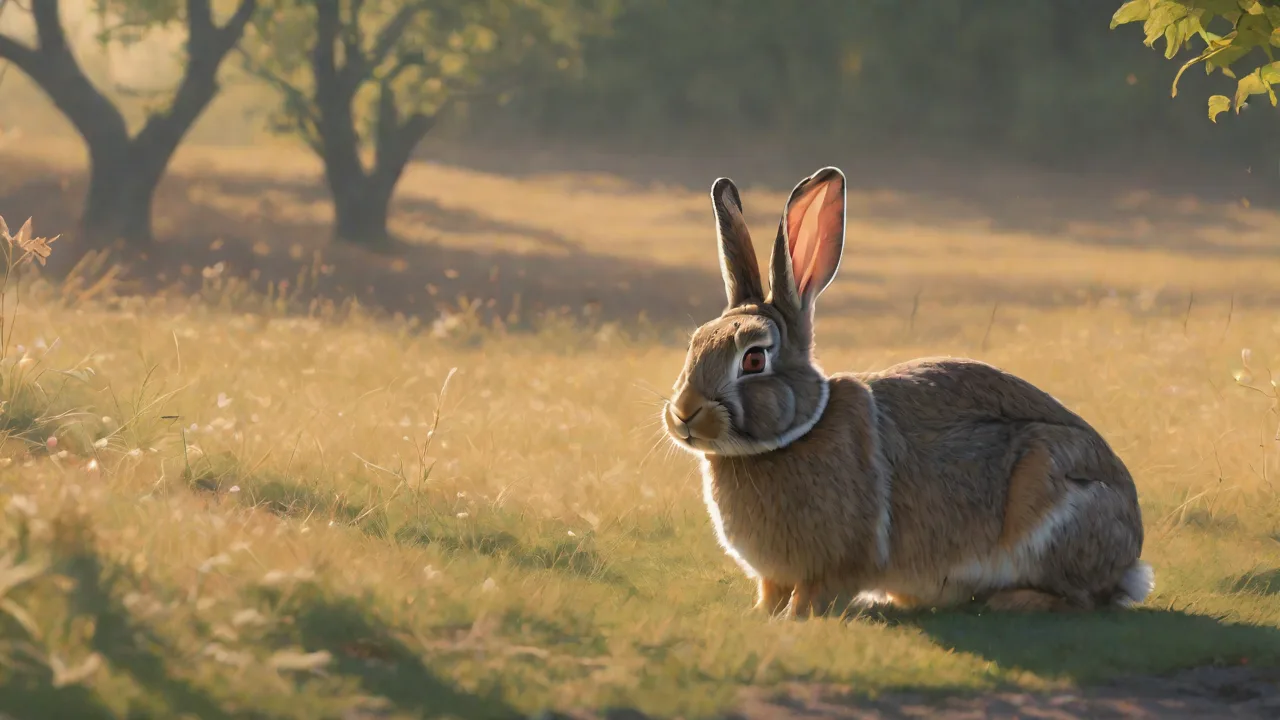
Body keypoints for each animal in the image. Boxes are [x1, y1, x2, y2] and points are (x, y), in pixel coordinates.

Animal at [662, 166, 1153, 618]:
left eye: (753, 360)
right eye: (694, 344)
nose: (684, 413)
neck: (794, 435)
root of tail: (1132, 553)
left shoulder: (837, 565)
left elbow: (815, 595)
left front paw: (793, 619)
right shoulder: (775, 576)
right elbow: (771, 593)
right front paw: (760, 616)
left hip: (1054, 496)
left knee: (1082, 597)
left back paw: (1012, 600)